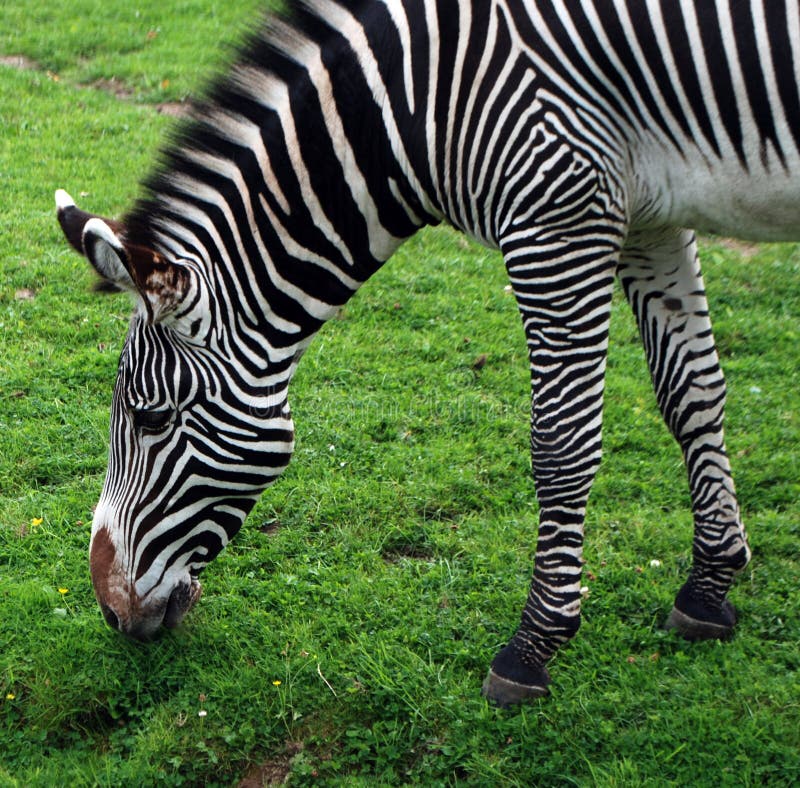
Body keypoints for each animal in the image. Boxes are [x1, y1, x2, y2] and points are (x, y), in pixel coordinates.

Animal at [54, 0, 796, 706]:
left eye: (150, 418)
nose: (110, 610)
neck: (420, 101)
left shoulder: (559, 218)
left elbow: (562, 444)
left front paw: (533, 647)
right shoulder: (650, 213)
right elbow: (690, 393)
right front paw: (709, 587)